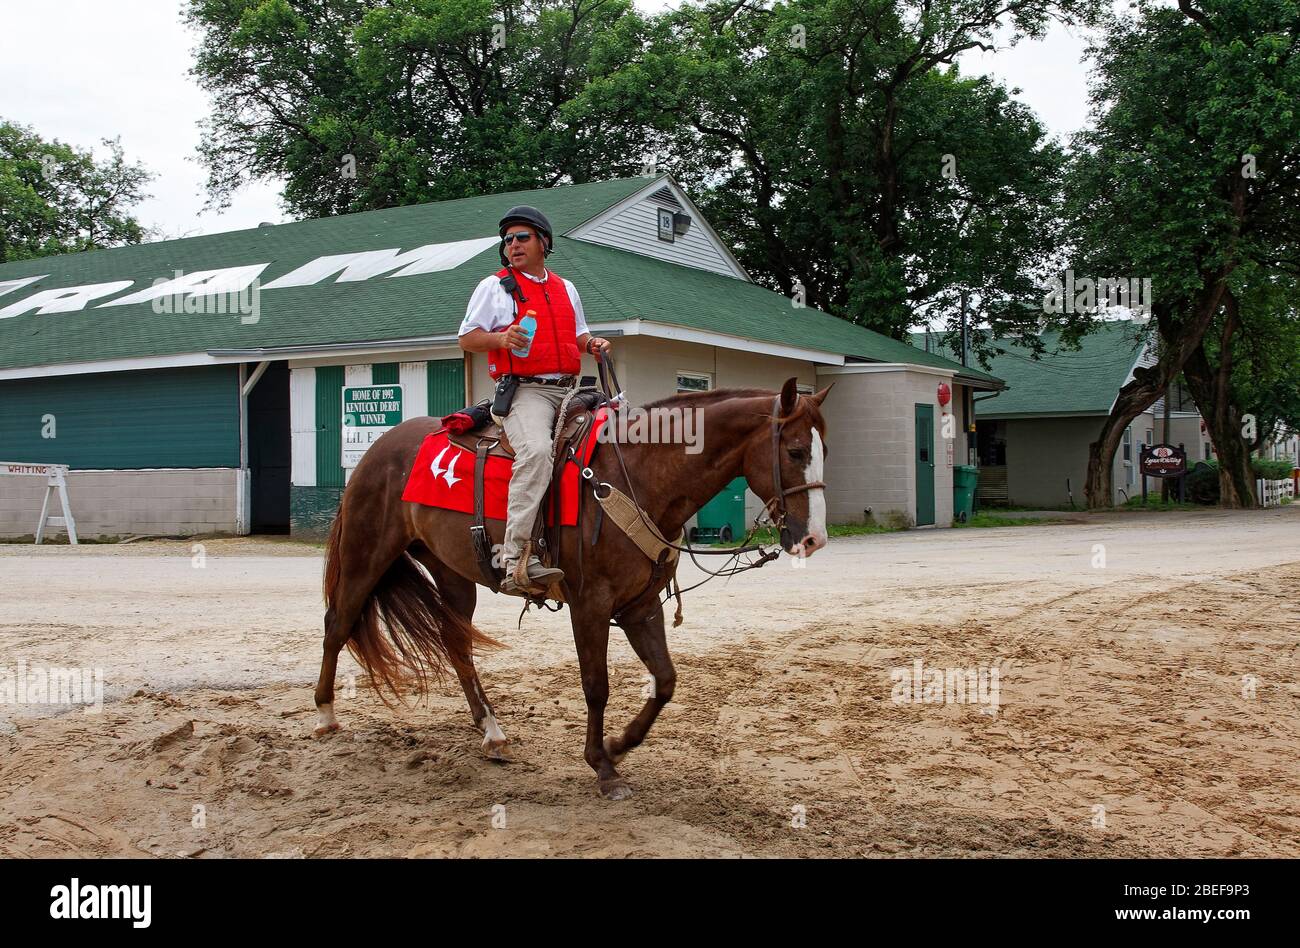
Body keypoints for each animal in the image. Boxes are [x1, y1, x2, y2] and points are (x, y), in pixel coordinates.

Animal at [314, 376, 831, 799]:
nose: (813, 539)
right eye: (795, 452)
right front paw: (602, 766)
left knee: (456, 644)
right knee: (337, 624)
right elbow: (596, 685)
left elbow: (665, 681)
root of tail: (379, 447)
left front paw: (620, 745)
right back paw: (325, 715)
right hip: (365, 556)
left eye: (824, 450)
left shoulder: (641, 606)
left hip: (453, 574)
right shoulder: (591, 606)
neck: (638, 474)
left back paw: (492, 732)